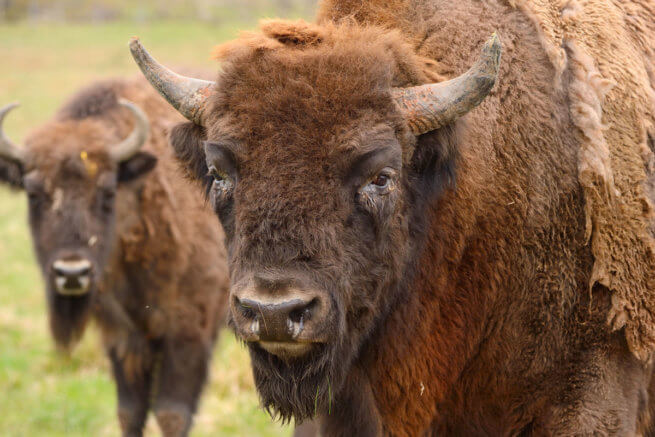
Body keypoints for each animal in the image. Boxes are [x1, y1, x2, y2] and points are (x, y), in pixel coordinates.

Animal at [0, 78, 229, 437]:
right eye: (34, 194)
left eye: (108, 192)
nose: (72, 273)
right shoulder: (122, 336)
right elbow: (129, 412)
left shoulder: (191, 331)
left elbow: (171, 414)